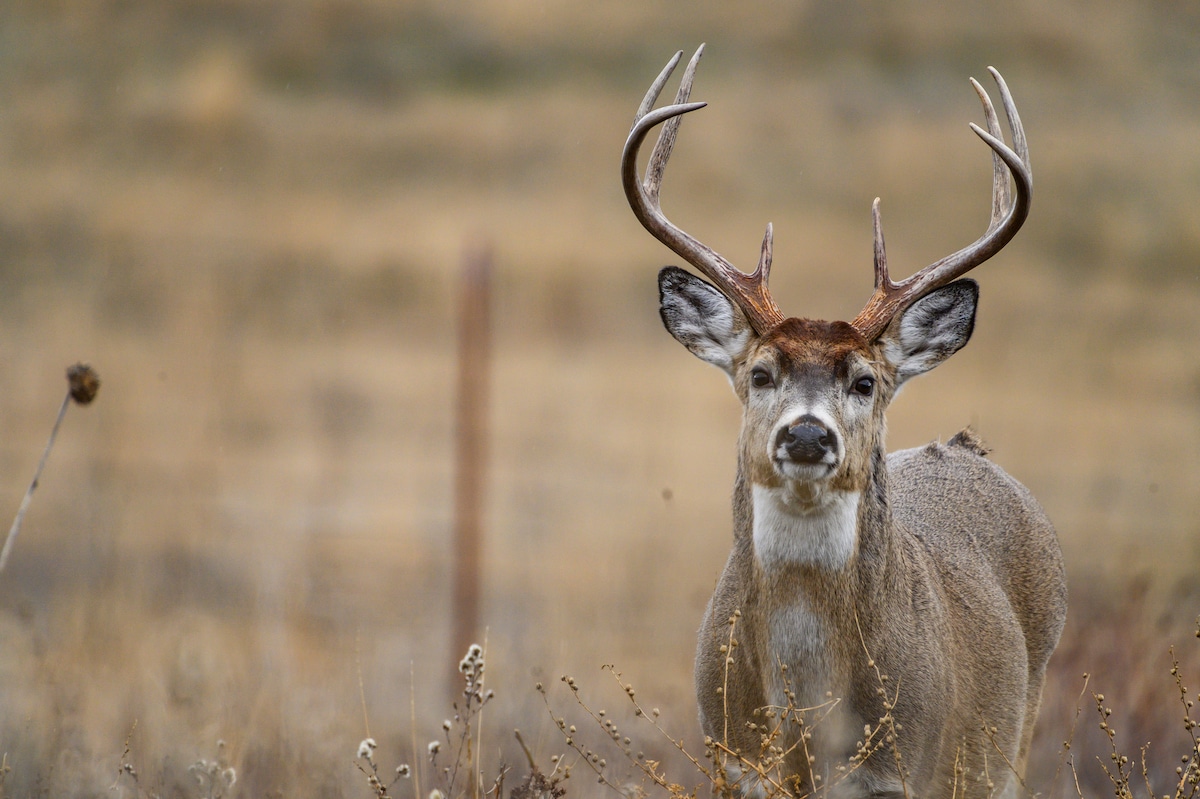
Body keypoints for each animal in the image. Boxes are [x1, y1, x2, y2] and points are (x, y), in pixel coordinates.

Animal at [621, 46, 1067, 799]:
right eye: (760, 373)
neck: (808, 724)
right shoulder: (731, 763)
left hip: (1010, 737)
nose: (806, 434)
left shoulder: (903, 768)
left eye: (865, 381)